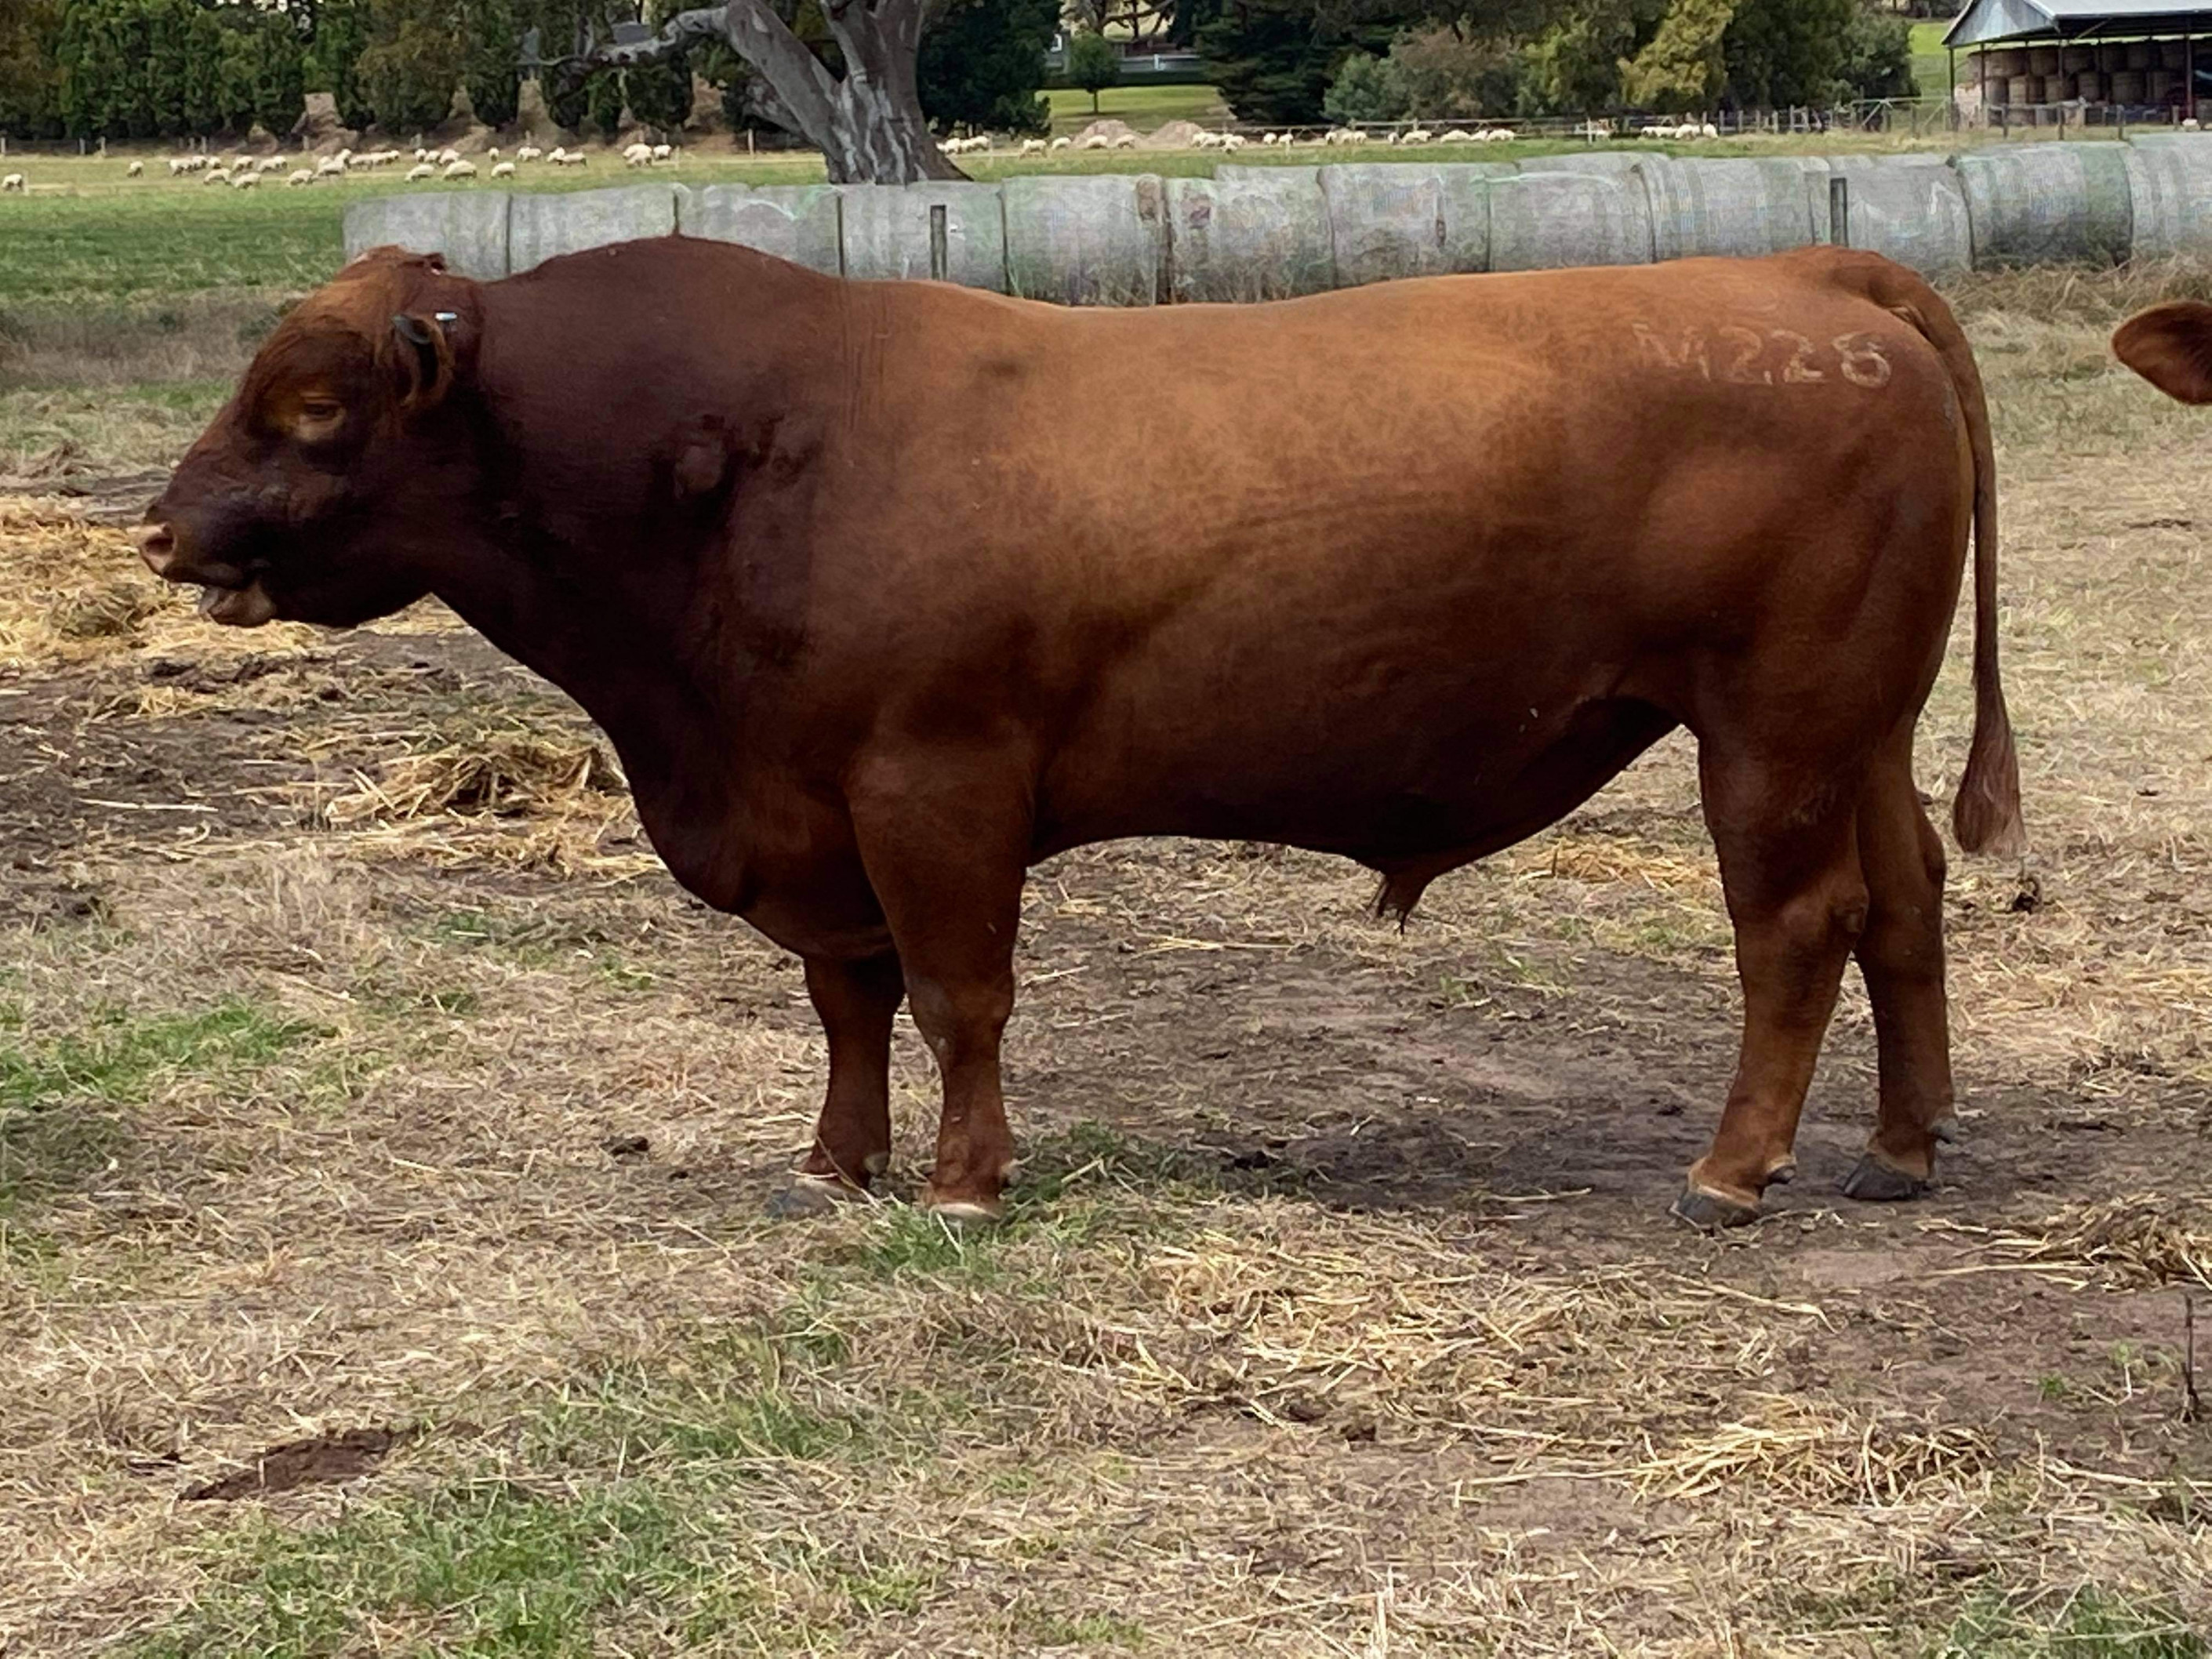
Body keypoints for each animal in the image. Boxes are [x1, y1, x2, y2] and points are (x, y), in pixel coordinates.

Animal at [134, 239, 2020, 1229]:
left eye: (314, 406)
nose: (160, 531)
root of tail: (1804, 272)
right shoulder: (814, 809)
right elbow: (850, 1001)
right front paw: (836, 1165)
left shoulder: (933, 781)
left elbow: (958, 994)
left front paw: (966, 1181)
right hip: (1859, 727)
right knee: (1908, 903)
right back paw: (1902, 1145)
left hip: (1768, 729)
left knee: (1796, 925)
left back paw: (1734, 1166)